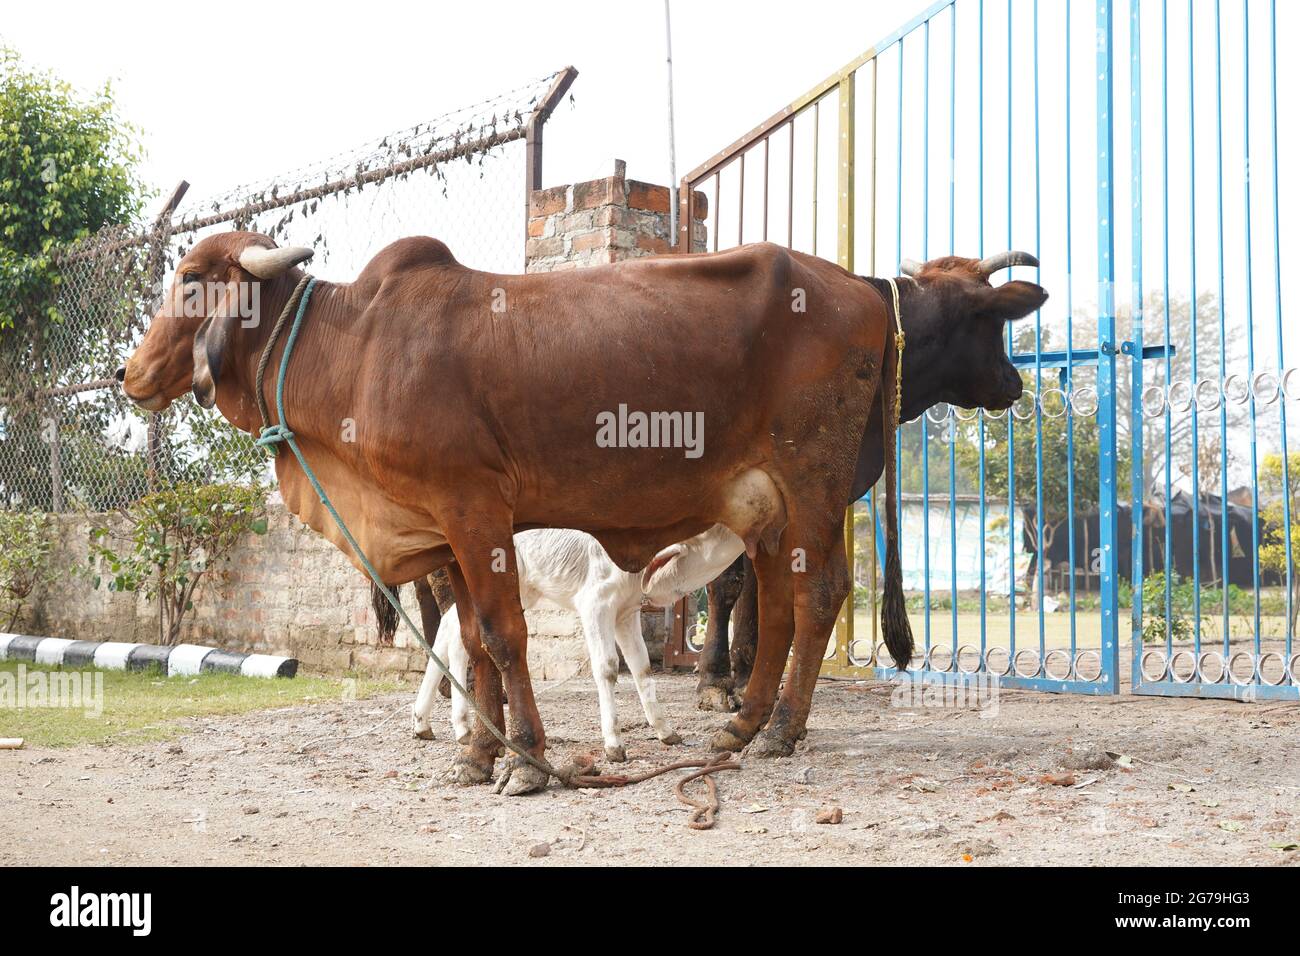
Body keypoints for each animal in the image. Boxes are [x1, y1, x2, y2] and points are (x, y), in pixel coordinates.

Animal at [120, 232, 906, 794]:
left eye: (191, 278)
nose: (129, 372)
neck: (353, 346)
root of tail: (863, 290)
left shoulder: (472, 510)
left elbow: (502, 637)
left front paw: (525, 760)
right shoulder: (446, 533)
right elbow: (471, 642)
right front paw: (476, 755)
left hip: (811, 480)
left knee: (819, 594)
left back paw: (780, 729)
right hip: (764, 506)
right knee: (775, 607)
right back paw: (743, 724)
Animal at [693, 253, 1044, 710]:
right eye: (994, 320)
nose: (1014, 382)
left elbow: (756, 583)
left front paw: (746, 671)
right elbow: (728, 581)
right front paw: (715, 680)